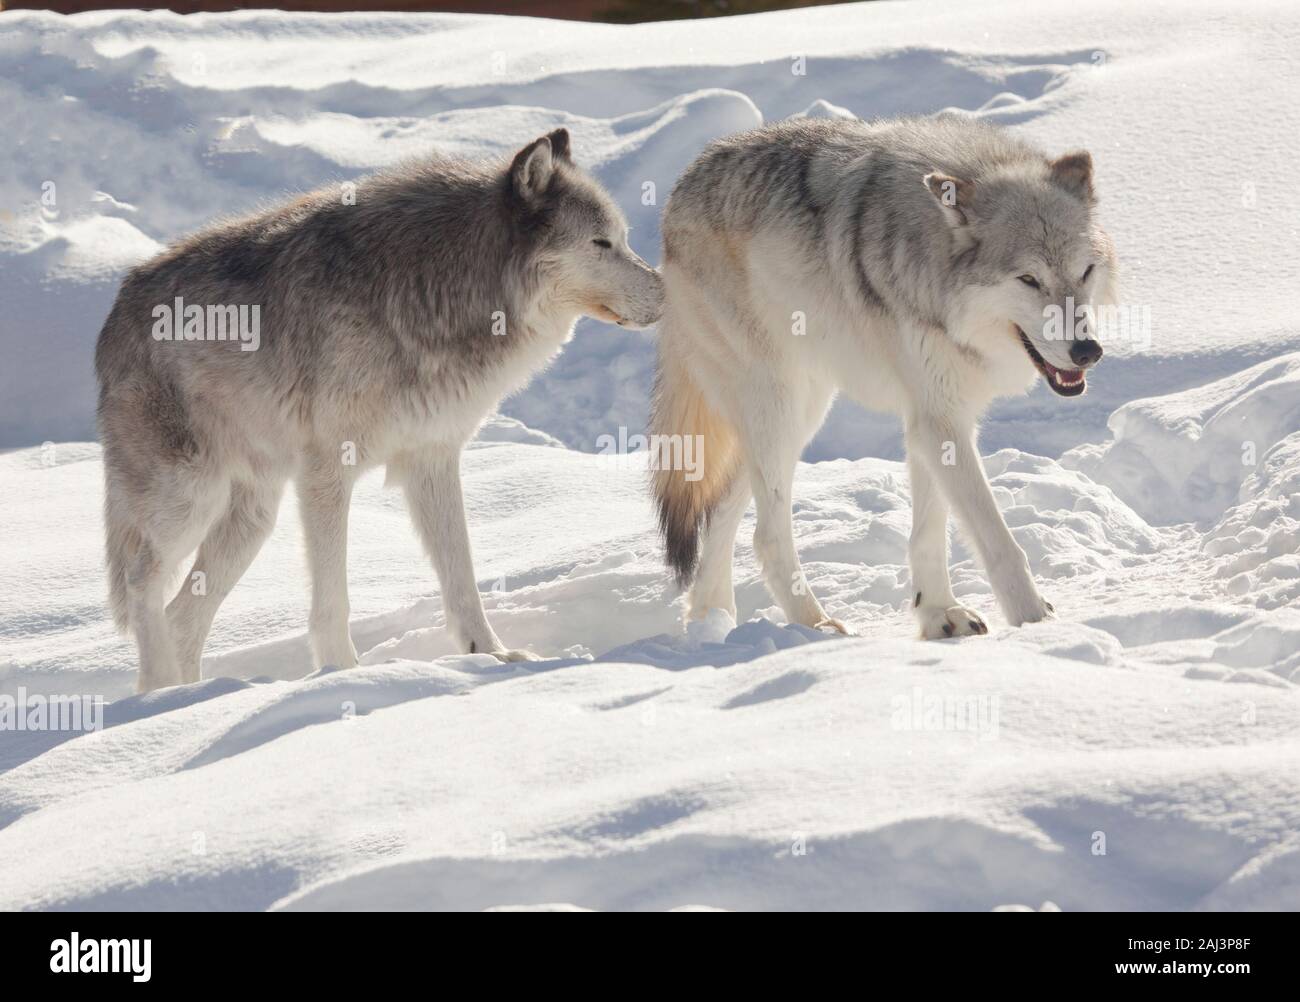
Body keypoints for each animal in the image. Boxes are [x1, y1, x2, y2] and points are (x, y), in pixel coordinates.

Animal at [97, 129, 663, 692]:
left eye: (623, 238)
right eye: (601, 243)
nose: (665, 289)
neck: (439, 288)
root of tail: (118, 303)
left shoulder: (432, 460)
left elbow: (462, 578)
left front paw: (492, 656)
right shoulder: (327, 473)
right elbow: (333, 598)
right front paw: (344, 675)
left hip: (253, 519)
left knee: (182, 616)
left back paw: (185, 698)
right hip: (190, 497)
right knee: (143, 584)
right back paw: (161, 694)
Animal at [651, 115, 1118, 639]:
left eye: (1085, 271)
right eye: (1029, 280)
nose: (1087, 351)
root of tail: (681, 188)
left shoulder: (935, 416)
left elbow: (930, 535)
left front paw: (939, 615)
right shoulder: (938, 420)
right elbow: (998, 540)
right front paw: (1036, 626)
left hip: (801, 414)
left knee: (721, 509)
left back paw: (710, 622)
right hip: (779, 405)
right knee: (767, 533)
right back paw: (815, 626)